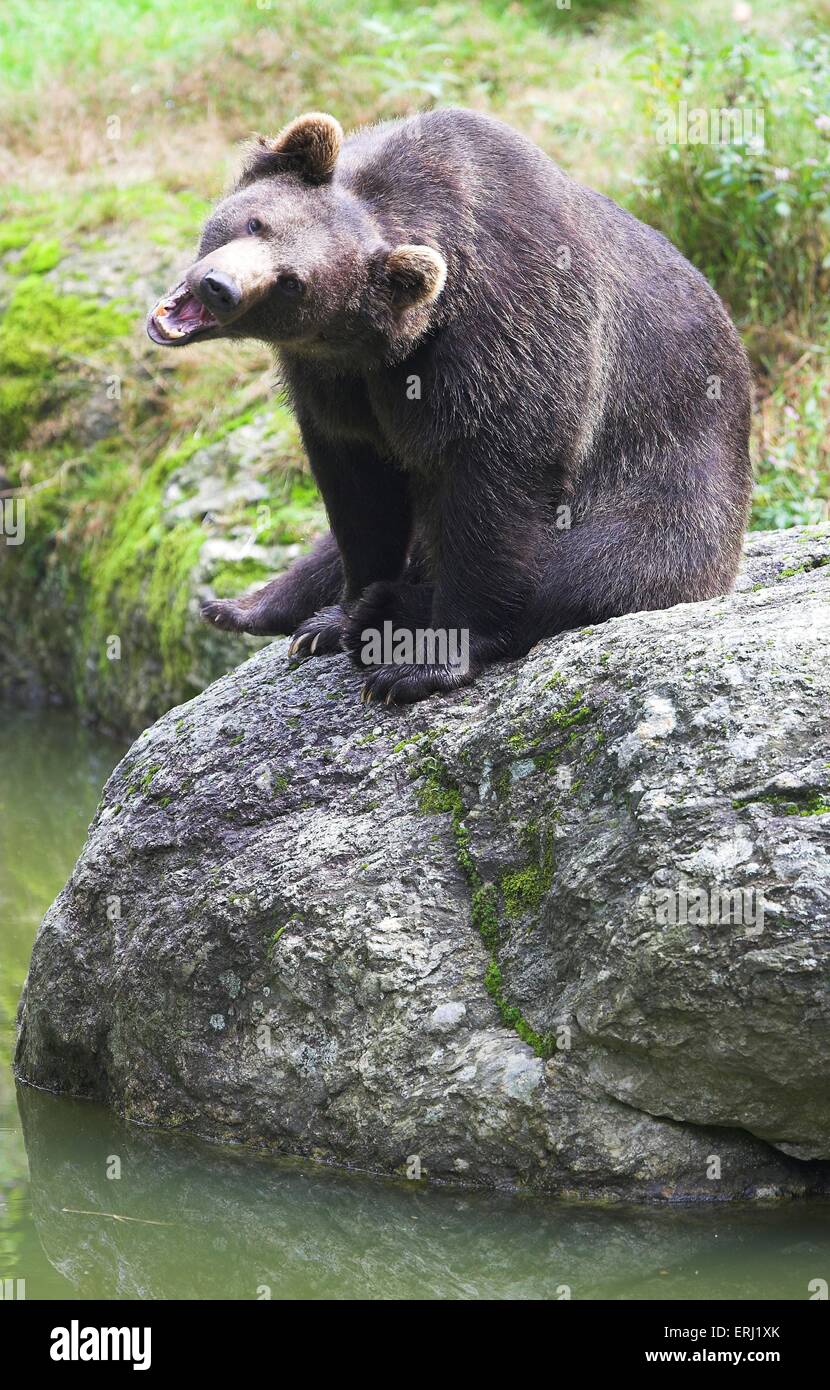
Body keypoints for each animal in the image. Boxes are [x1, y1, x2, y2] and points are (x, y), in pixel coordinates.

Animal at [147, 107, 752, 705]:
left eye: (294, 283)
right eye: (256, 223)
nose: (220, 285)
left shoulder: (510, 340)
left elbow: (495, 495)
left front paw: (420, 663)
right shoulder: (334, 386)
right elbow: (359, 497)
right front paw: (337, 613)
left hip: (673, 482)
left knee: (596, 569)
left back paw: (389, 609)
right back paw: (250, 607)